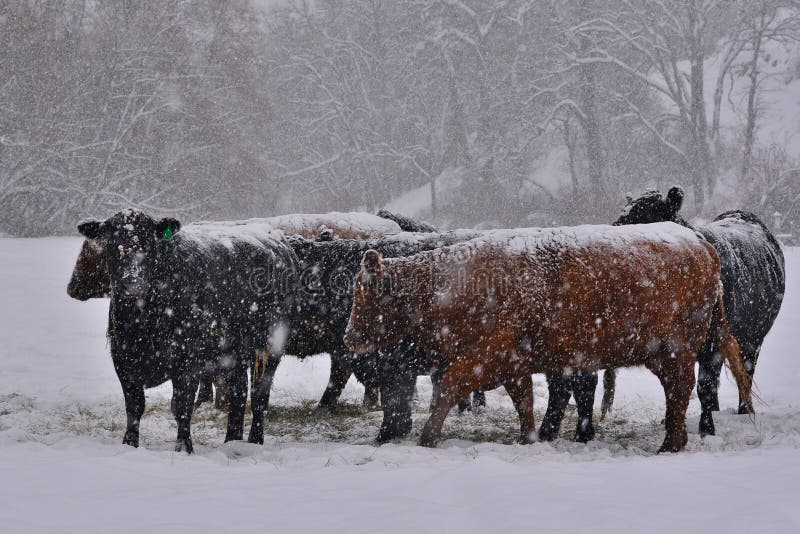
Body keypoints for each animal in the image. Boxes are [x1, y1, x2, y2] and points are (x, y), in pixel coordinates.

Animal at [77, 209, 300, 453]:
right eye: (110, 242)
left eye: (149, 242)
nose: (131, 280)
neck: (144, 321)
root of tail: (277, 239)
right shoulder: (123, 360)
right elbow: (134, 406)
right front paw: (129, 444)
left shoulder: (188, 360)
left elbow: (181, 406)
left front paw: (184, 447)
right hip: (233, 353)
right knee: (238, 393)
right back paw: (231, 440)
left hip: (270, 347)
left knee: (259, 395)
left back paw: (254, 441)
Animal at [343, 224, 753, 452]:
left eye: (366, 293)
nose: (348, 337)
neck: (453, 284)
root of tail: (701, 244)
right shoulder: (512, 364)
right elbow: (523, 401)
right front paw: (529, 438)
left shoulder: (480, 359)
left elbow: (447, 391)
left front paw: (427, 438)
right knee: (678, 394)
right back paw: (674, 442)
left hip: (673, 353)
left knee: (681, 392)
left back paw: (669, 445)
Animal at [541, 187, 785, 441]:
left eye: (644, 219)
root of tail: (740, 214)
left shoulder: (712, 346)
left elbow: (705, 386)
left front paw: (706, 429)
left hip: (752, 339)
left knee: (745, 373)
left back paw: (744, 411)